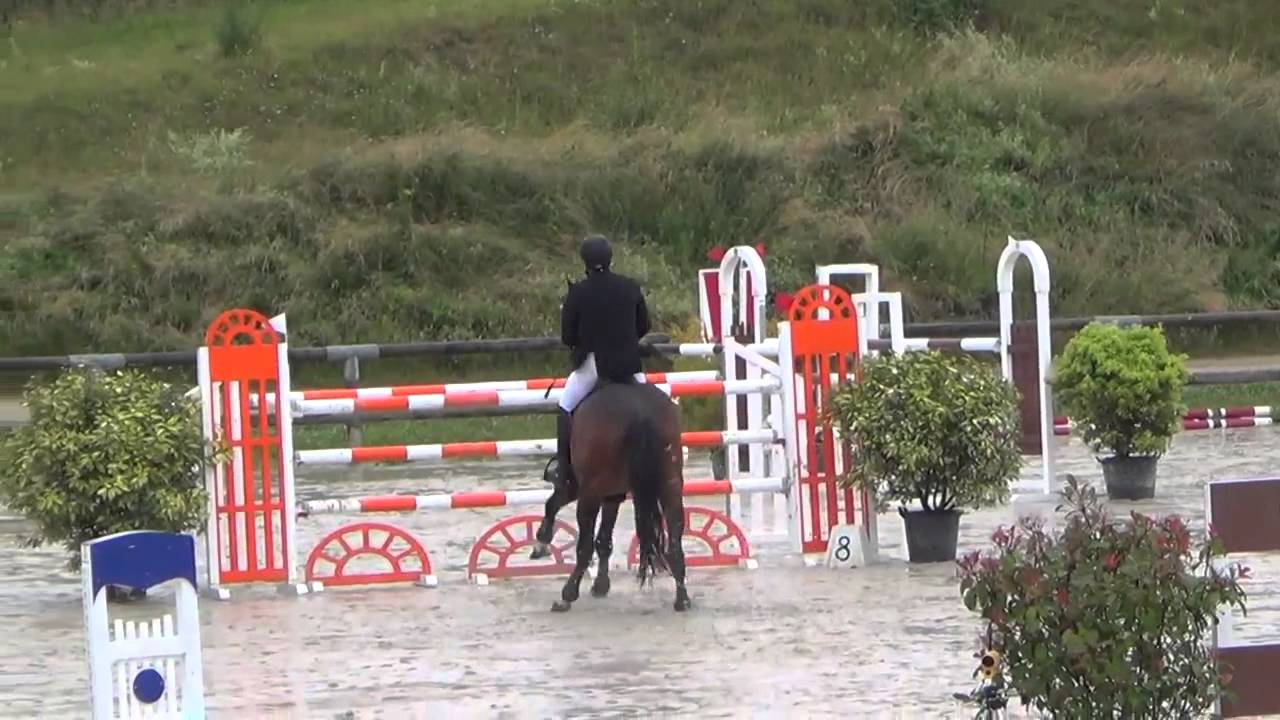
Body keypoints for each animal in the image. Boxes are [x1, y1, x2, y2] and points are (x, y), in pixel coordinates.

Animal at [530, 380, 691, 613]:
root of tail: (640, 412)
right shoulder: (612, 495)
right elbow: (604, 540)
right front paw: (601, 585)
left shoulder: (579, 488)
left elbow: (552, 505)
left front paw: (541, 543)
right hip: (670, 487)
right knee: (675, 544)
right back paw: (682, 599)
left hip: (589, 494)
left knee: (584, 548)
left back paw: (567, 595)